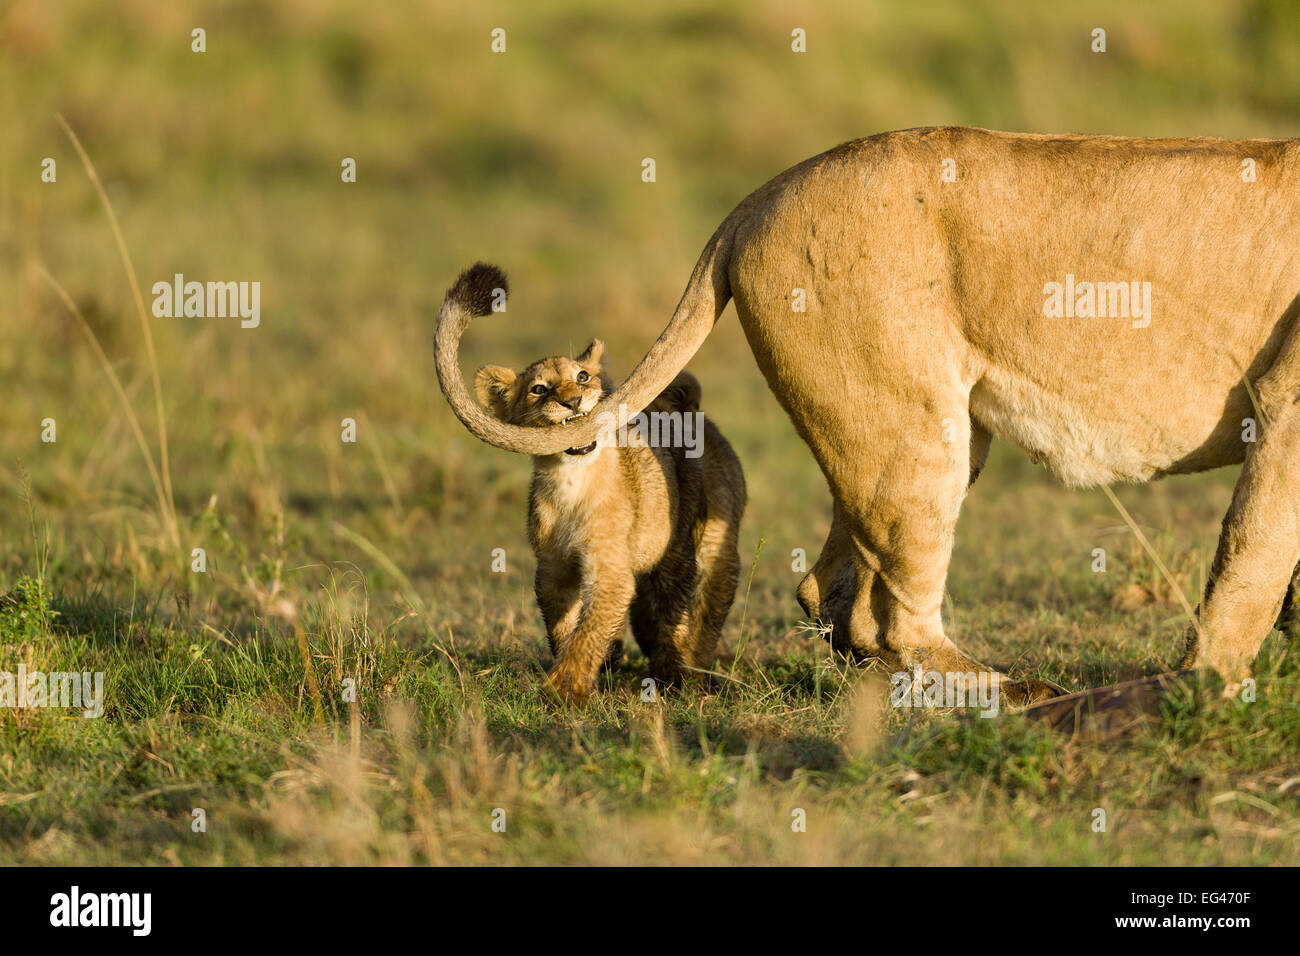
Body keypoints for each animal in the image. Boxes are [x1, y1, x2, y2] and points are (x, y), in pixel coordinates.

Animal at [450, 265, 747, 703]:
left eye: (583, 376)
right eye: (539, 389)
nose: (573, 402)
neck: (570, 482)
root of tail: (687, 411)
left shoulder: (608, 570)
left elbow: (588, 630)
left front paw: (566, 689)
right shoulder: (552, 570)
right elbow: (564, 626)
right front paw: (596, 662)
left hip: (701, 543)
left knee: (695, 605)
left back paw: (683, 671)